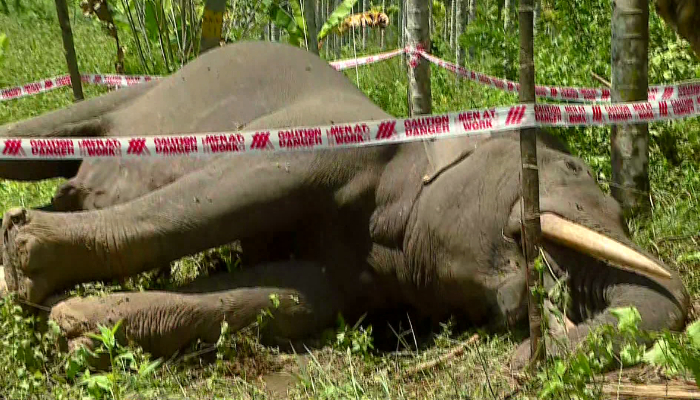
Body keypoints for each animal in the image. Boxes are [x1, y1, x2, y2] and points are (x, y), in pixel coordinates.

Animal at [0, 41, 690, 365]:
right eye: (573, 167)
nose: (526, 358)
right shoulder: (322, 142)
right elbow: (229, 192)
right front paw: (27, 260)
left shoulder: (362, 278)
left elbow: (287, 299)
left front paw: (77, 326)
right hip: (136, 94)